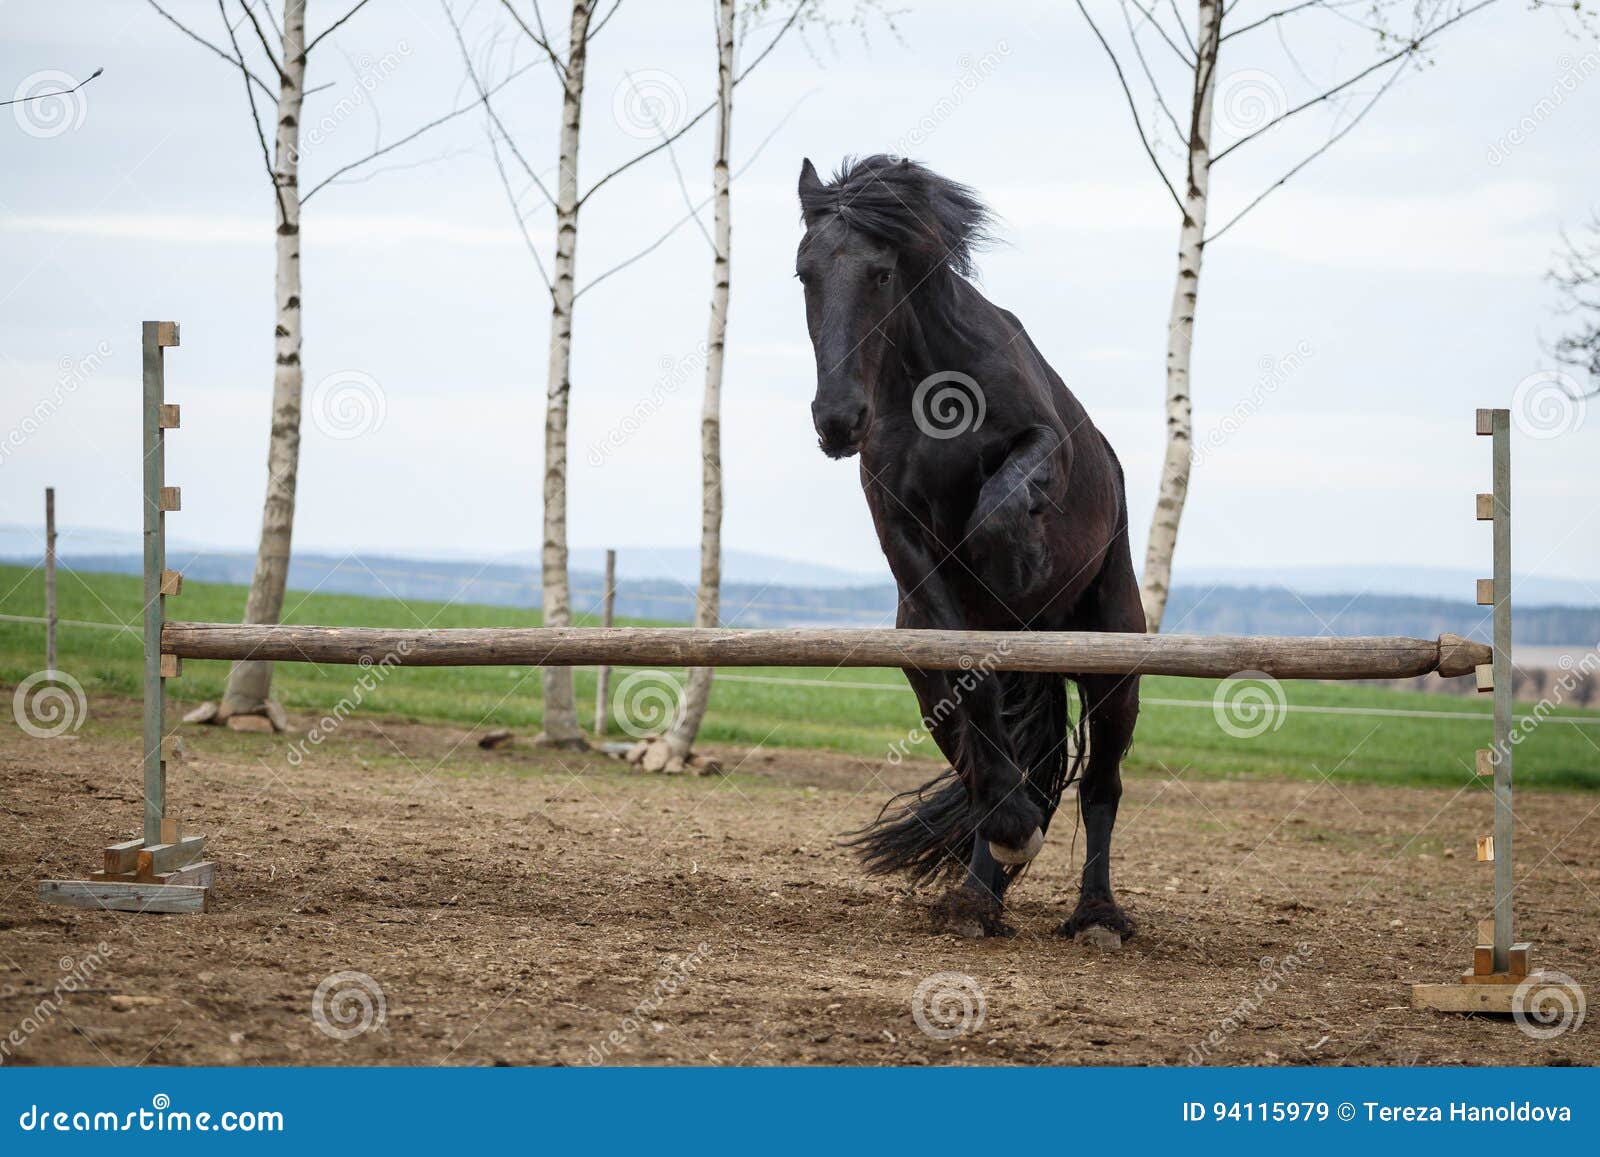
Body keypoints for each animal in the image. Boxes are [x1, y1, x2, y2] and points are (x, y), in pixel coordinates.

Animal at [795, 155, 1144, 942]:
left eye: (881, 274)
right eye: (804, 273)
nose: (837, 420)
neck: (931, 384)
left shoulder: (1043, 445)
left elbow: (1001, 507)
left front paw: (1018, 564)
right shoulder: (899, 530)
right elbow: (975, 684)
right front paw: (1013, 830)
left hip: (1116, 665)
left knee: (1101, 786)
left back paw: (1097, 912)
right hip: (926, 683)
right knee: (986, 762)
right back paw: (980, 892)